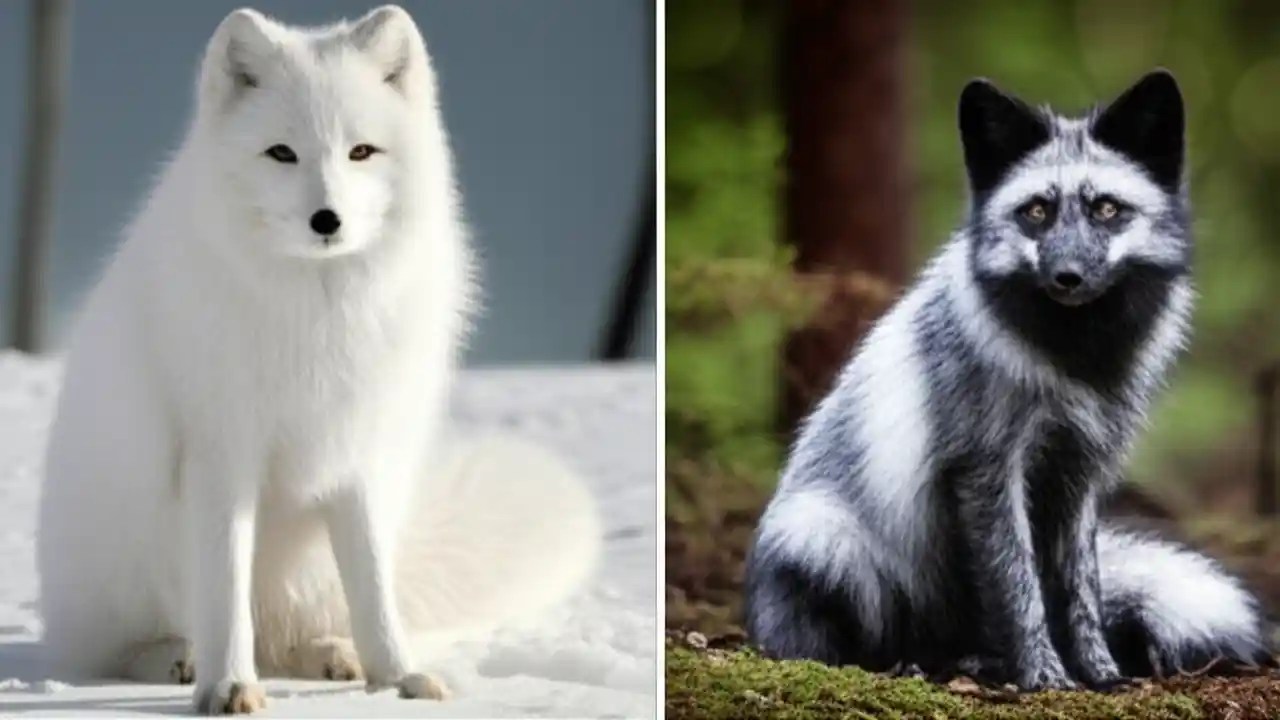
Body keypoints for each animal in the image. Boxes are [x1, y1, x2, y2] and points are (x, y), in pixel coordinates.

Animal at [36, 6, 599, 715]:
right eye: (282, 152)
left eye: (361, 152)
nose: (326, 219)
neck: (320, 313)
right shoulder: (222, 452)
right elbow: (224, 590)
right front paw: (229, 684)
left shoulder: (355, 451)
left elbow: (373, 586)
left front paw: (397, 674)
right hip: (137, 558)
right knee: (131, 646)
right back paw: (180, 659)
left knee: (293, 630)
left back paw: (333, 654)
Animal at [744, 70, 1272, 691]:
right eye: (1037, 212)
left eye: (1107, 209)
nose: (1068, 276)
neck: (1076, 364)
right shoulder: (987, 470)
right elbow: (1019, 588)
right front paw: (1045, 676)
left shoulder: (1079, 473)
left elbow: (1079, 589)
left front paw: (1100, 674)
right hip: (827, 542)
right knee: (842, 644)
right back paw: (915, 663)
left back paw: (980, 663)